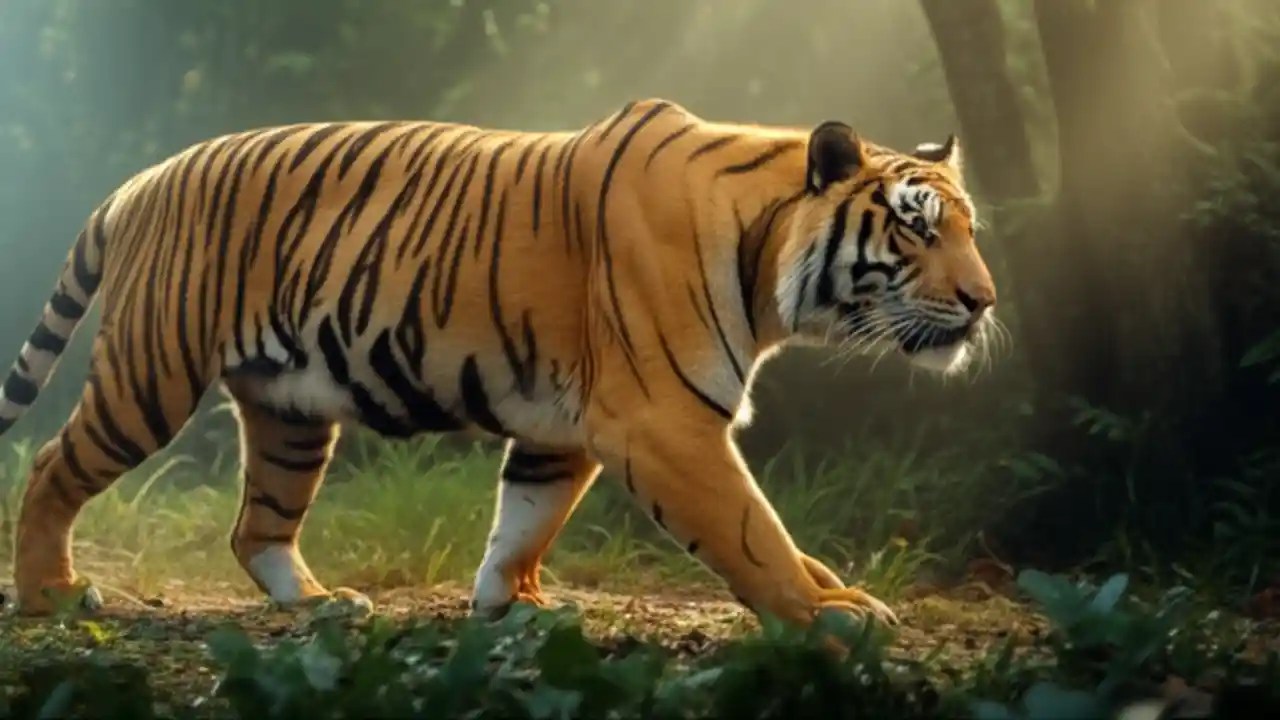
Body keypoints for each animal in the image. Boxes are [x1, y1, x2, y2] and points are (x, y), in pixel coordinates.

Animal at [0, 98, 996, 628]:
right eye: (915, 228)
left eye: (970, 228)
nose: (984, 301)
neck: (766, 267)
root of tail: (141, 181)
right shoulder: (662, 423)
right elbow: (756, 532)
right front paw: (829, 614)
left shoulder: (569, 427)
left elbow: (528, 516)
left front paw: (509, 604)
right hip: (151, 373)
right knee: (50, 465)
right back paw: (52, 594)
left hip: (291, 411)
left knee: (257, 527)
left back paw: (319, 604)